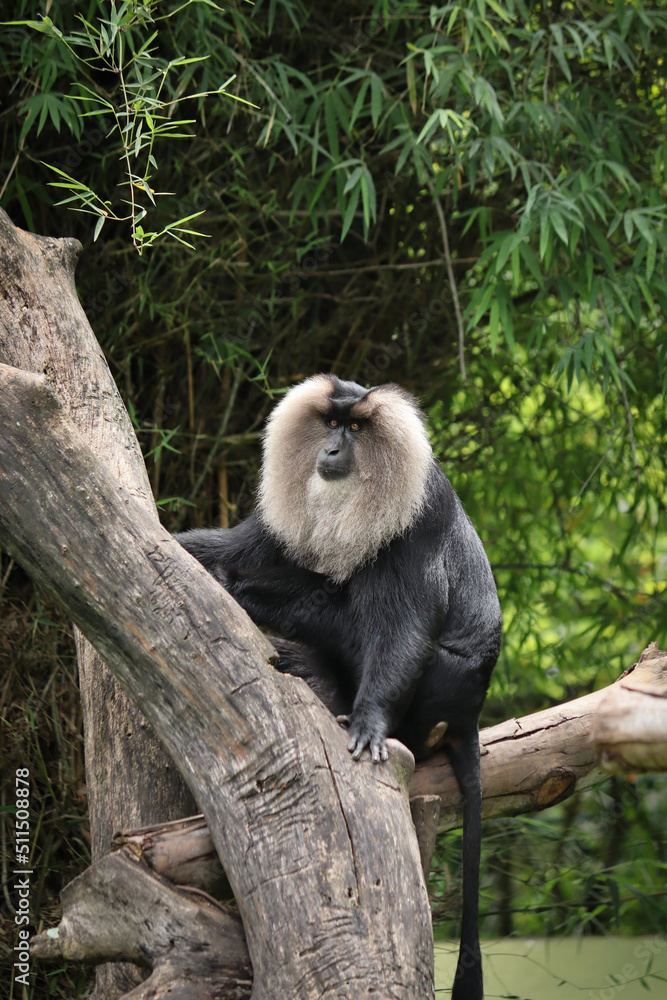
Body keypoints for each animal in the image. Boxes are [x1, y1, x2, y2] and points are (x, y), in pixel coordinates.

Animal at [175, 373, 502, 1000]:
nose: (330, 450)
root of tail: (472, 711)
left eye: (354, 429)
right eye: (329, 424)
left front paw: (370, 721)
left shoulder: (420, 515)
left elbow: (403, 626)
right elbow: (235, 544)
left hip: (444, 685)